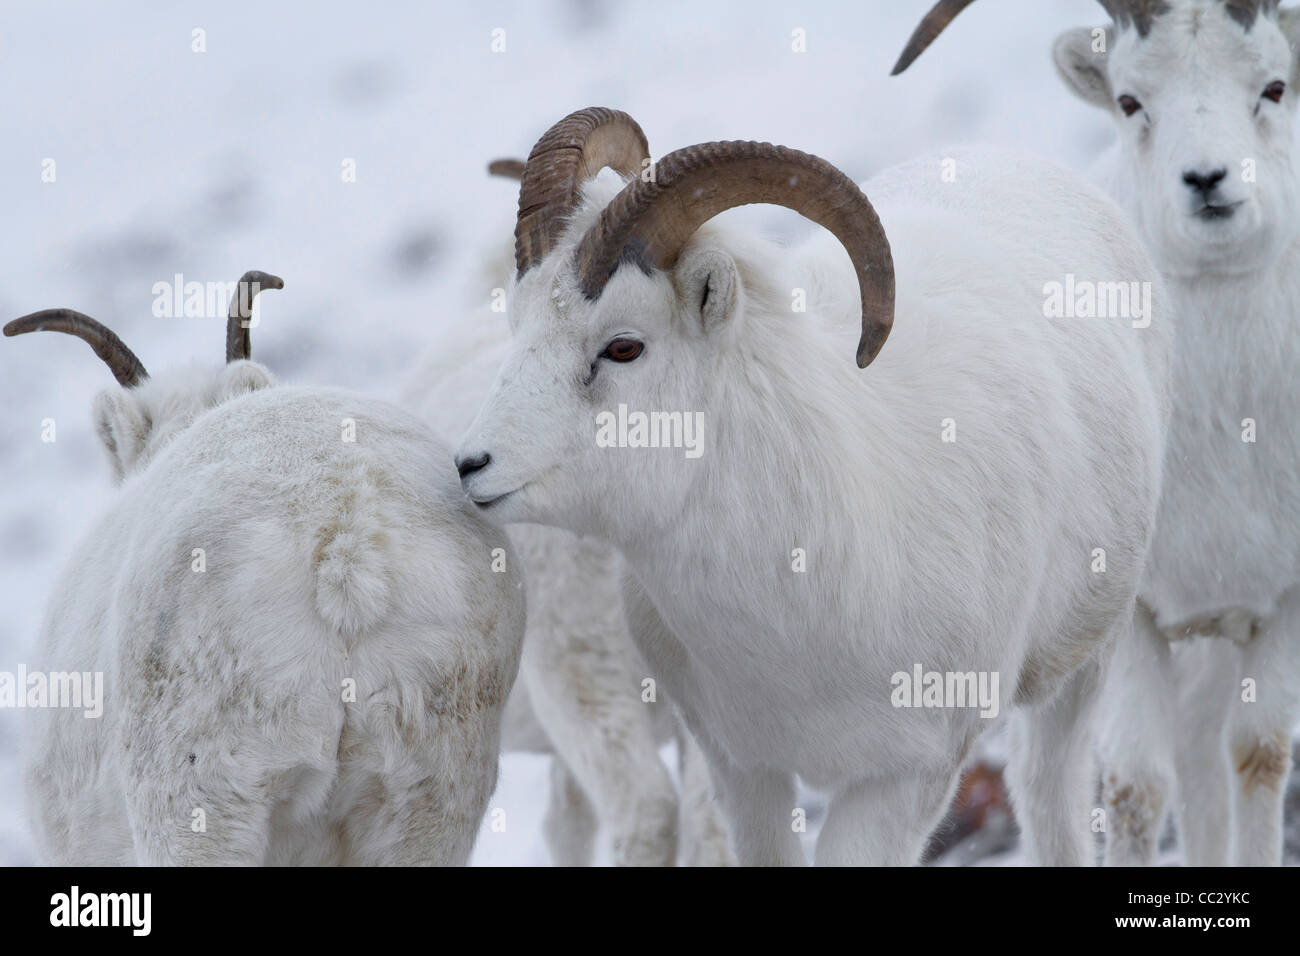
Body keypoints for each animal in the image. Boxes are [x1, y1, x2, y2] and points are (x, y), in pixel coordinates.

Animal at [451, 107, 1171, 865]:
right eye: (518, 325)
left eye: (623, 347)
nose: (471, 465)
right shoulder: (745, 773)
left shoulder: (904, 779)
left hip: (1085, 666)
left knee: (1046, 788)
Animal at [893, 0, 1300, 867]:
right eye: (1129, 100)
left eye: (1274, 86)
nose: (1207, 182)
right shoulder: (1134, 619)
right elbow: (1138, 783)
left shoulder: (1283, 603)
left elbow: (1258, 755)